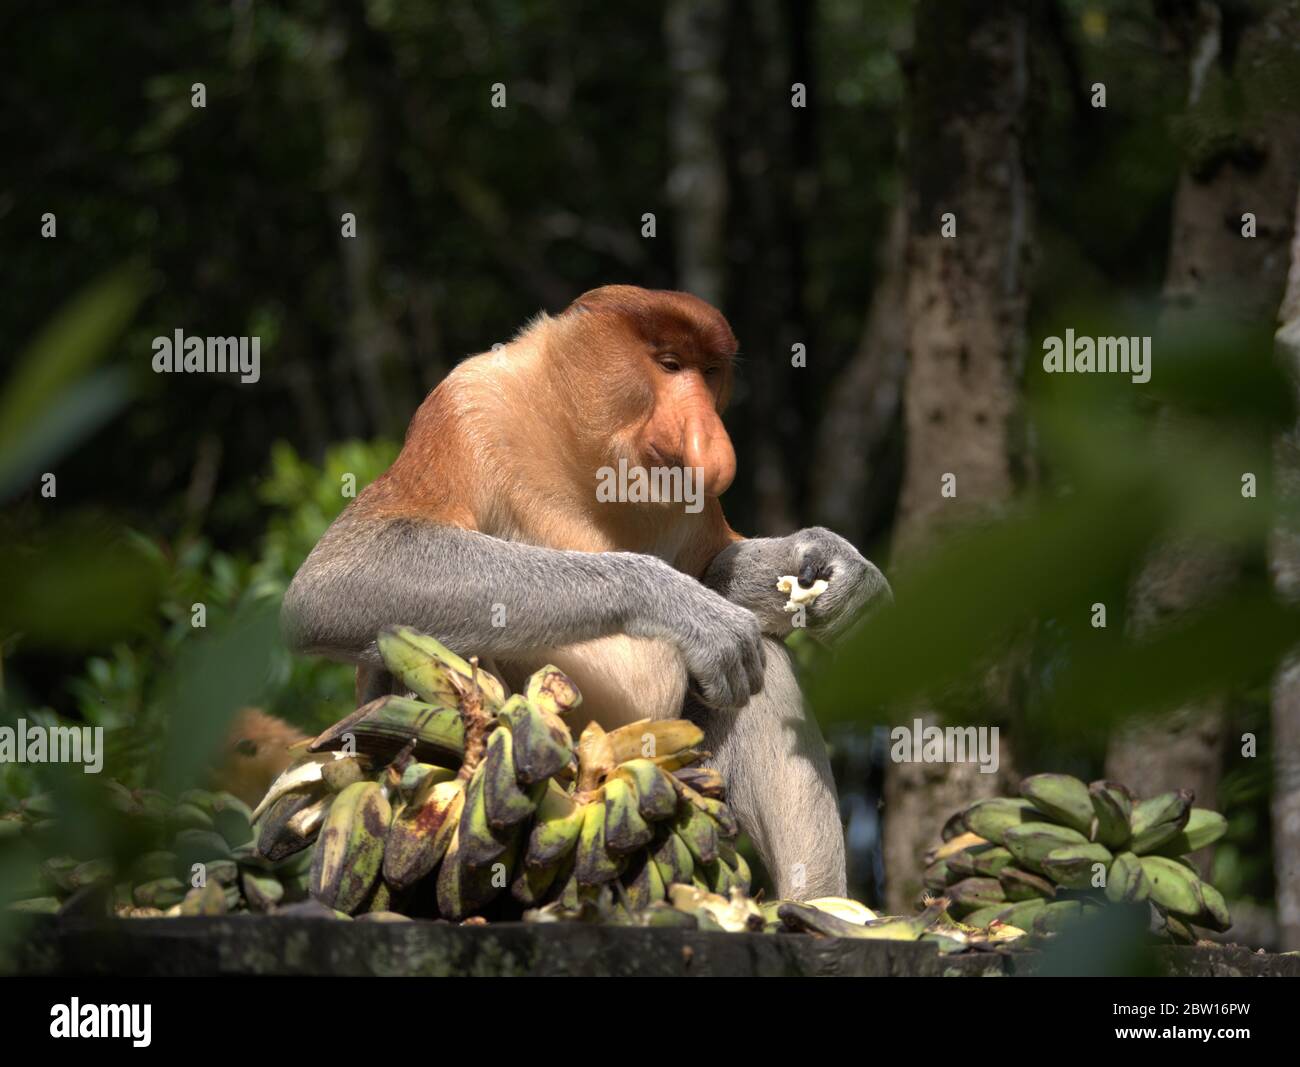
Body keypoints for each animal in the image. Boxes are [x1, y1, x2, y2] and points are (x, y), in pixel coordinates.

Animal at [282, 285, 890, 897]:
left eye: (710, 372)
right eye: (669, 364)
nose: (710, 445)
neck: (583, 450)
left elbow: (713, 565)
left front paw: (834, 568)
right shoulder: (466, 407)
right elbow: (339, 578)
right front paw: (682, 606)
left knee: (761, 658)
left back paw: (814, 904)